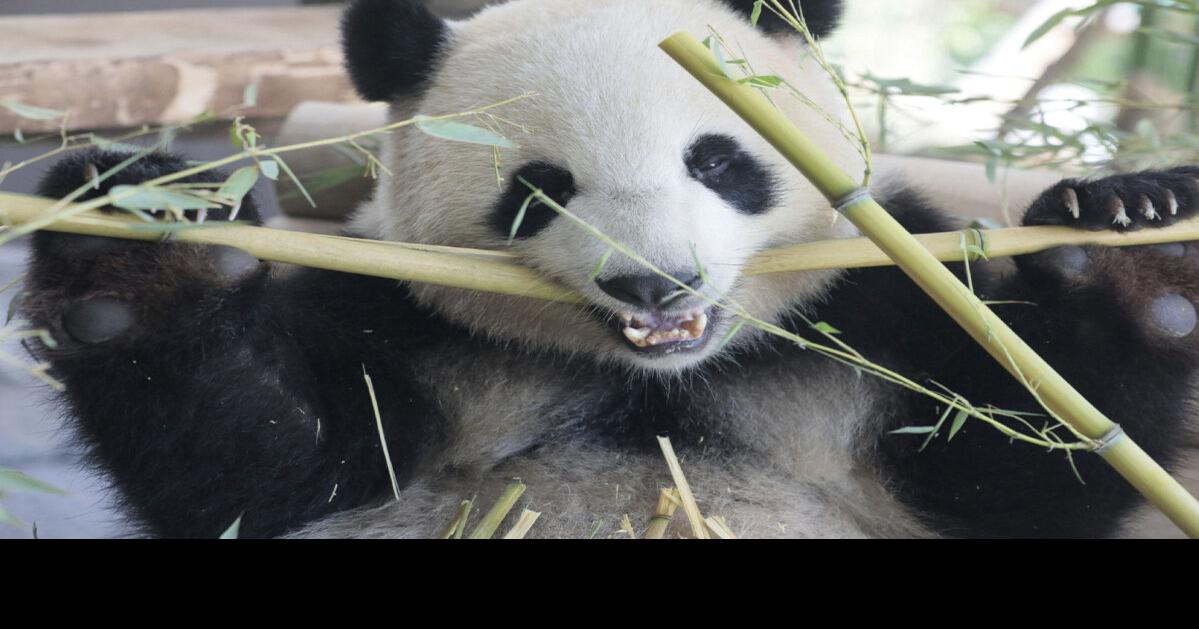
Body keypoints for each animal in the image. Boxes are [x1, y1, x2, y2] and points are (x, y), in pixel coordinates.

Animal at [20, 0, 1199, 538]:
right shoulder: (398, 316)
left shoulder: (875, 308)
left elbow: (1016, 470)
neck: (657, 382)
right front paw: (131, 249)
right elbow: (261, 465)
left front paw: (1131, 245)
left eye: (716, 159)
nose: (653, 285)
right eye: (540, 188)